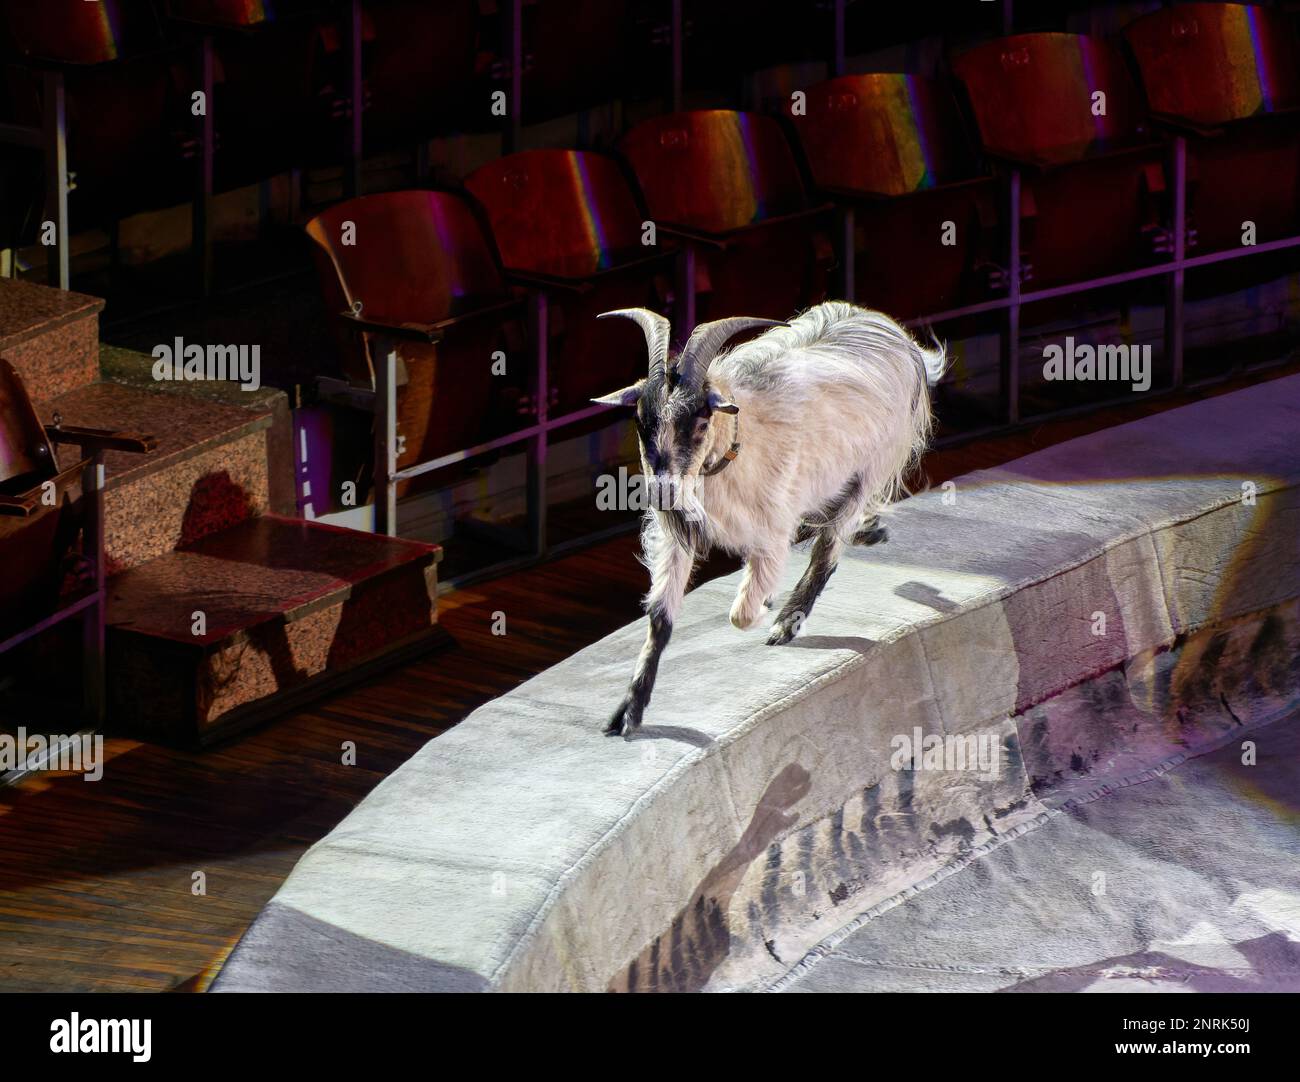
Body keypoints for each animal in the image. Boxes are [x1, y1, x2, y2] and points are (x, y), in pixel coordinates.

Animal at [594, 301, 946, 738]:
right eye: (642, 421)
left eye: (701, 420)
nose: (663, 491)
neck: (736, 446)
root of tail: (893, 332)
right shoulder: (677, 532)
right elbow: (660, 617)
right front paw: (628, 712)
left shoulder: (772, 531)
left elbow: (741, 614)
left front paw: (764, 606)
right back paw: (870, 532)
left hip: (872, 465)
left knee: (827, 551)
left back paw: (786, 623)